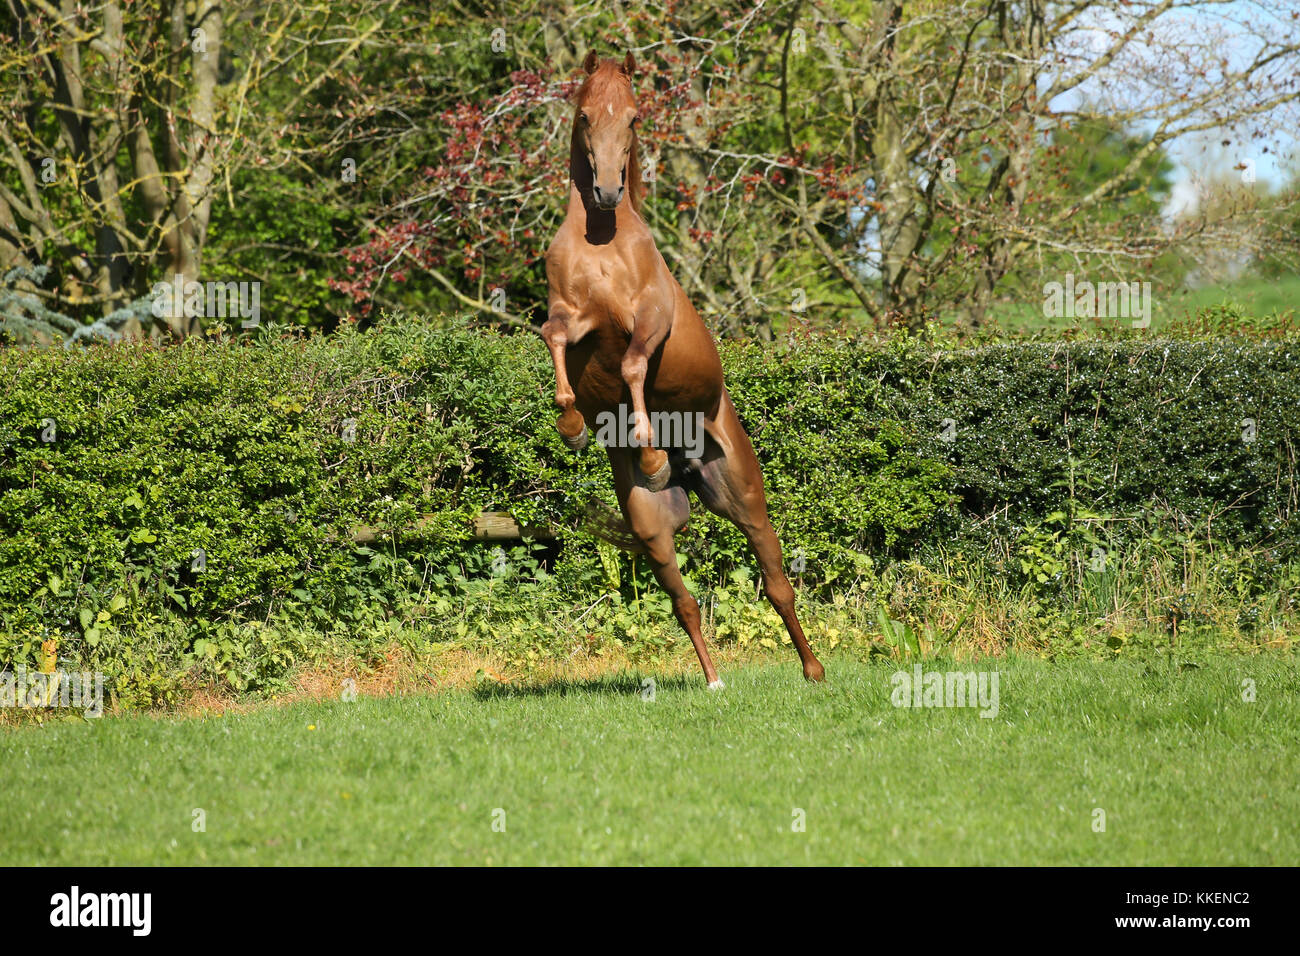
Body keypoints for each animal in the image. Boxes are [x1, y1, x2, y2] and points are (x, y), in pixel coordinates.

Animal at [541, 51, 824, 689]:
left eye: (634, 116)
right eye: (585, 114)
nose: (606, 190)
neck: (603, 240)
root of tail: (692, 466)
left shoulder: (648, 317)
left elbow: (634, 362)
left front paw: (646, 448)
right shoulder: (571, 315)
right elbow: (554, 338)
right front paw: (573, 426)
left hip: (745, 499)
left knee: (777, 585)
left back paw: (814, 669)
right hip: (653, 527)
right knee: (685, 603)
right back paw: (714, 680)